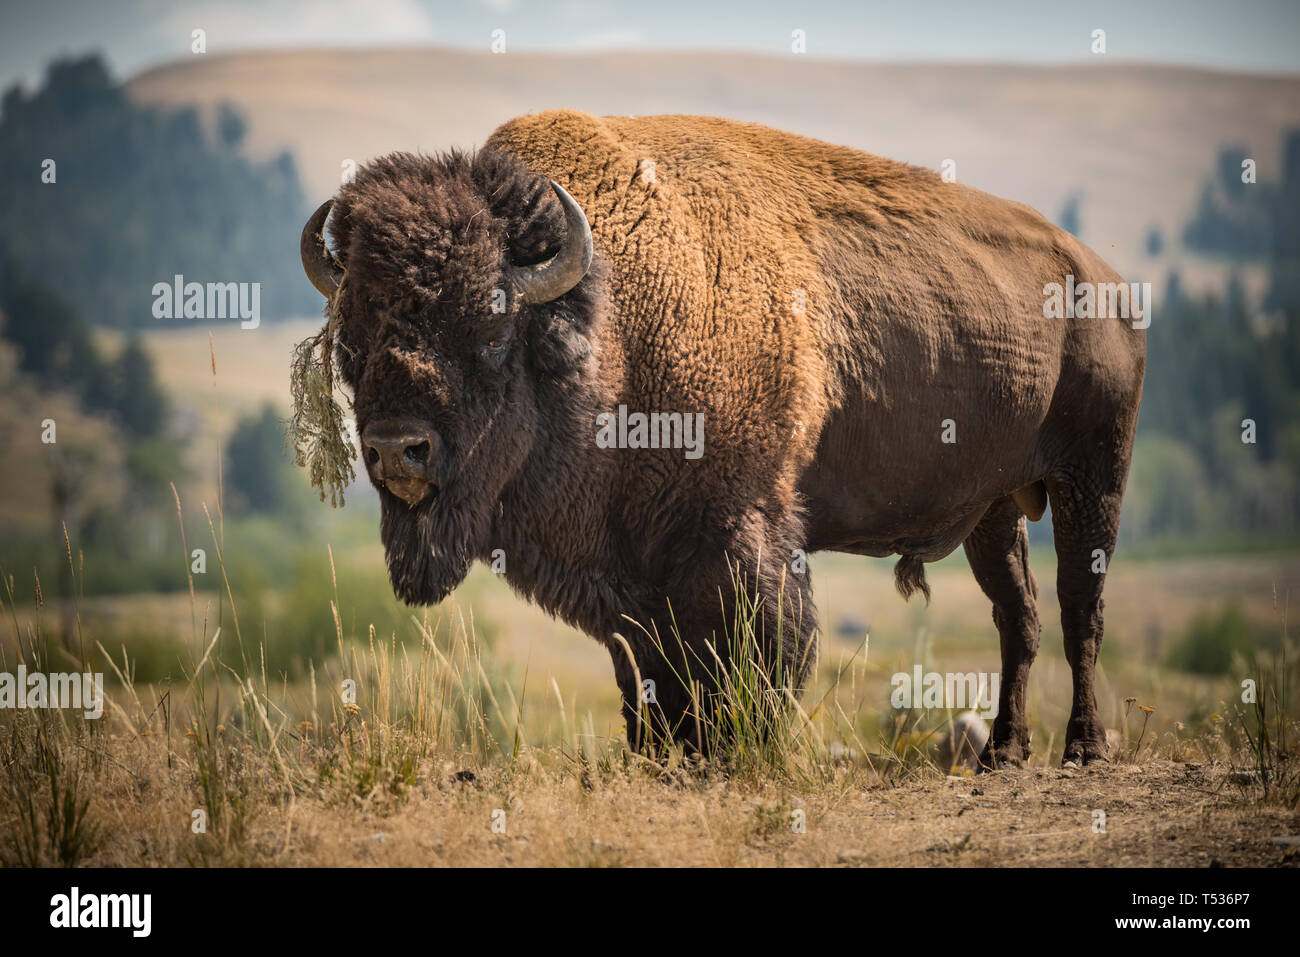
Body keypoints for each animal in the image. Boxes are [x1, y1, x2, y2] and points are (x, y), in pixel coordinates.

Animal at [299, 110, 1145, 766]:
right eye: (354, 344)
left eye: (494, 332)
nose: (396, 449)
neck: (609, 321)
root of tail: (1105, 282)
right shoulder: (629, 576)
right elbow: (645, 666)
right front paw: (659, 754)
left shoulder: (738, 526)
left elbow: (755, 648)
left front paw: (738, 750)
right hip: (995, 508)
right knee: (1018, 614)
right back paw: (1002, 752)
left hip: (1093, 475)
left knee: (1080, 605)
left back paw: (1082, 748)